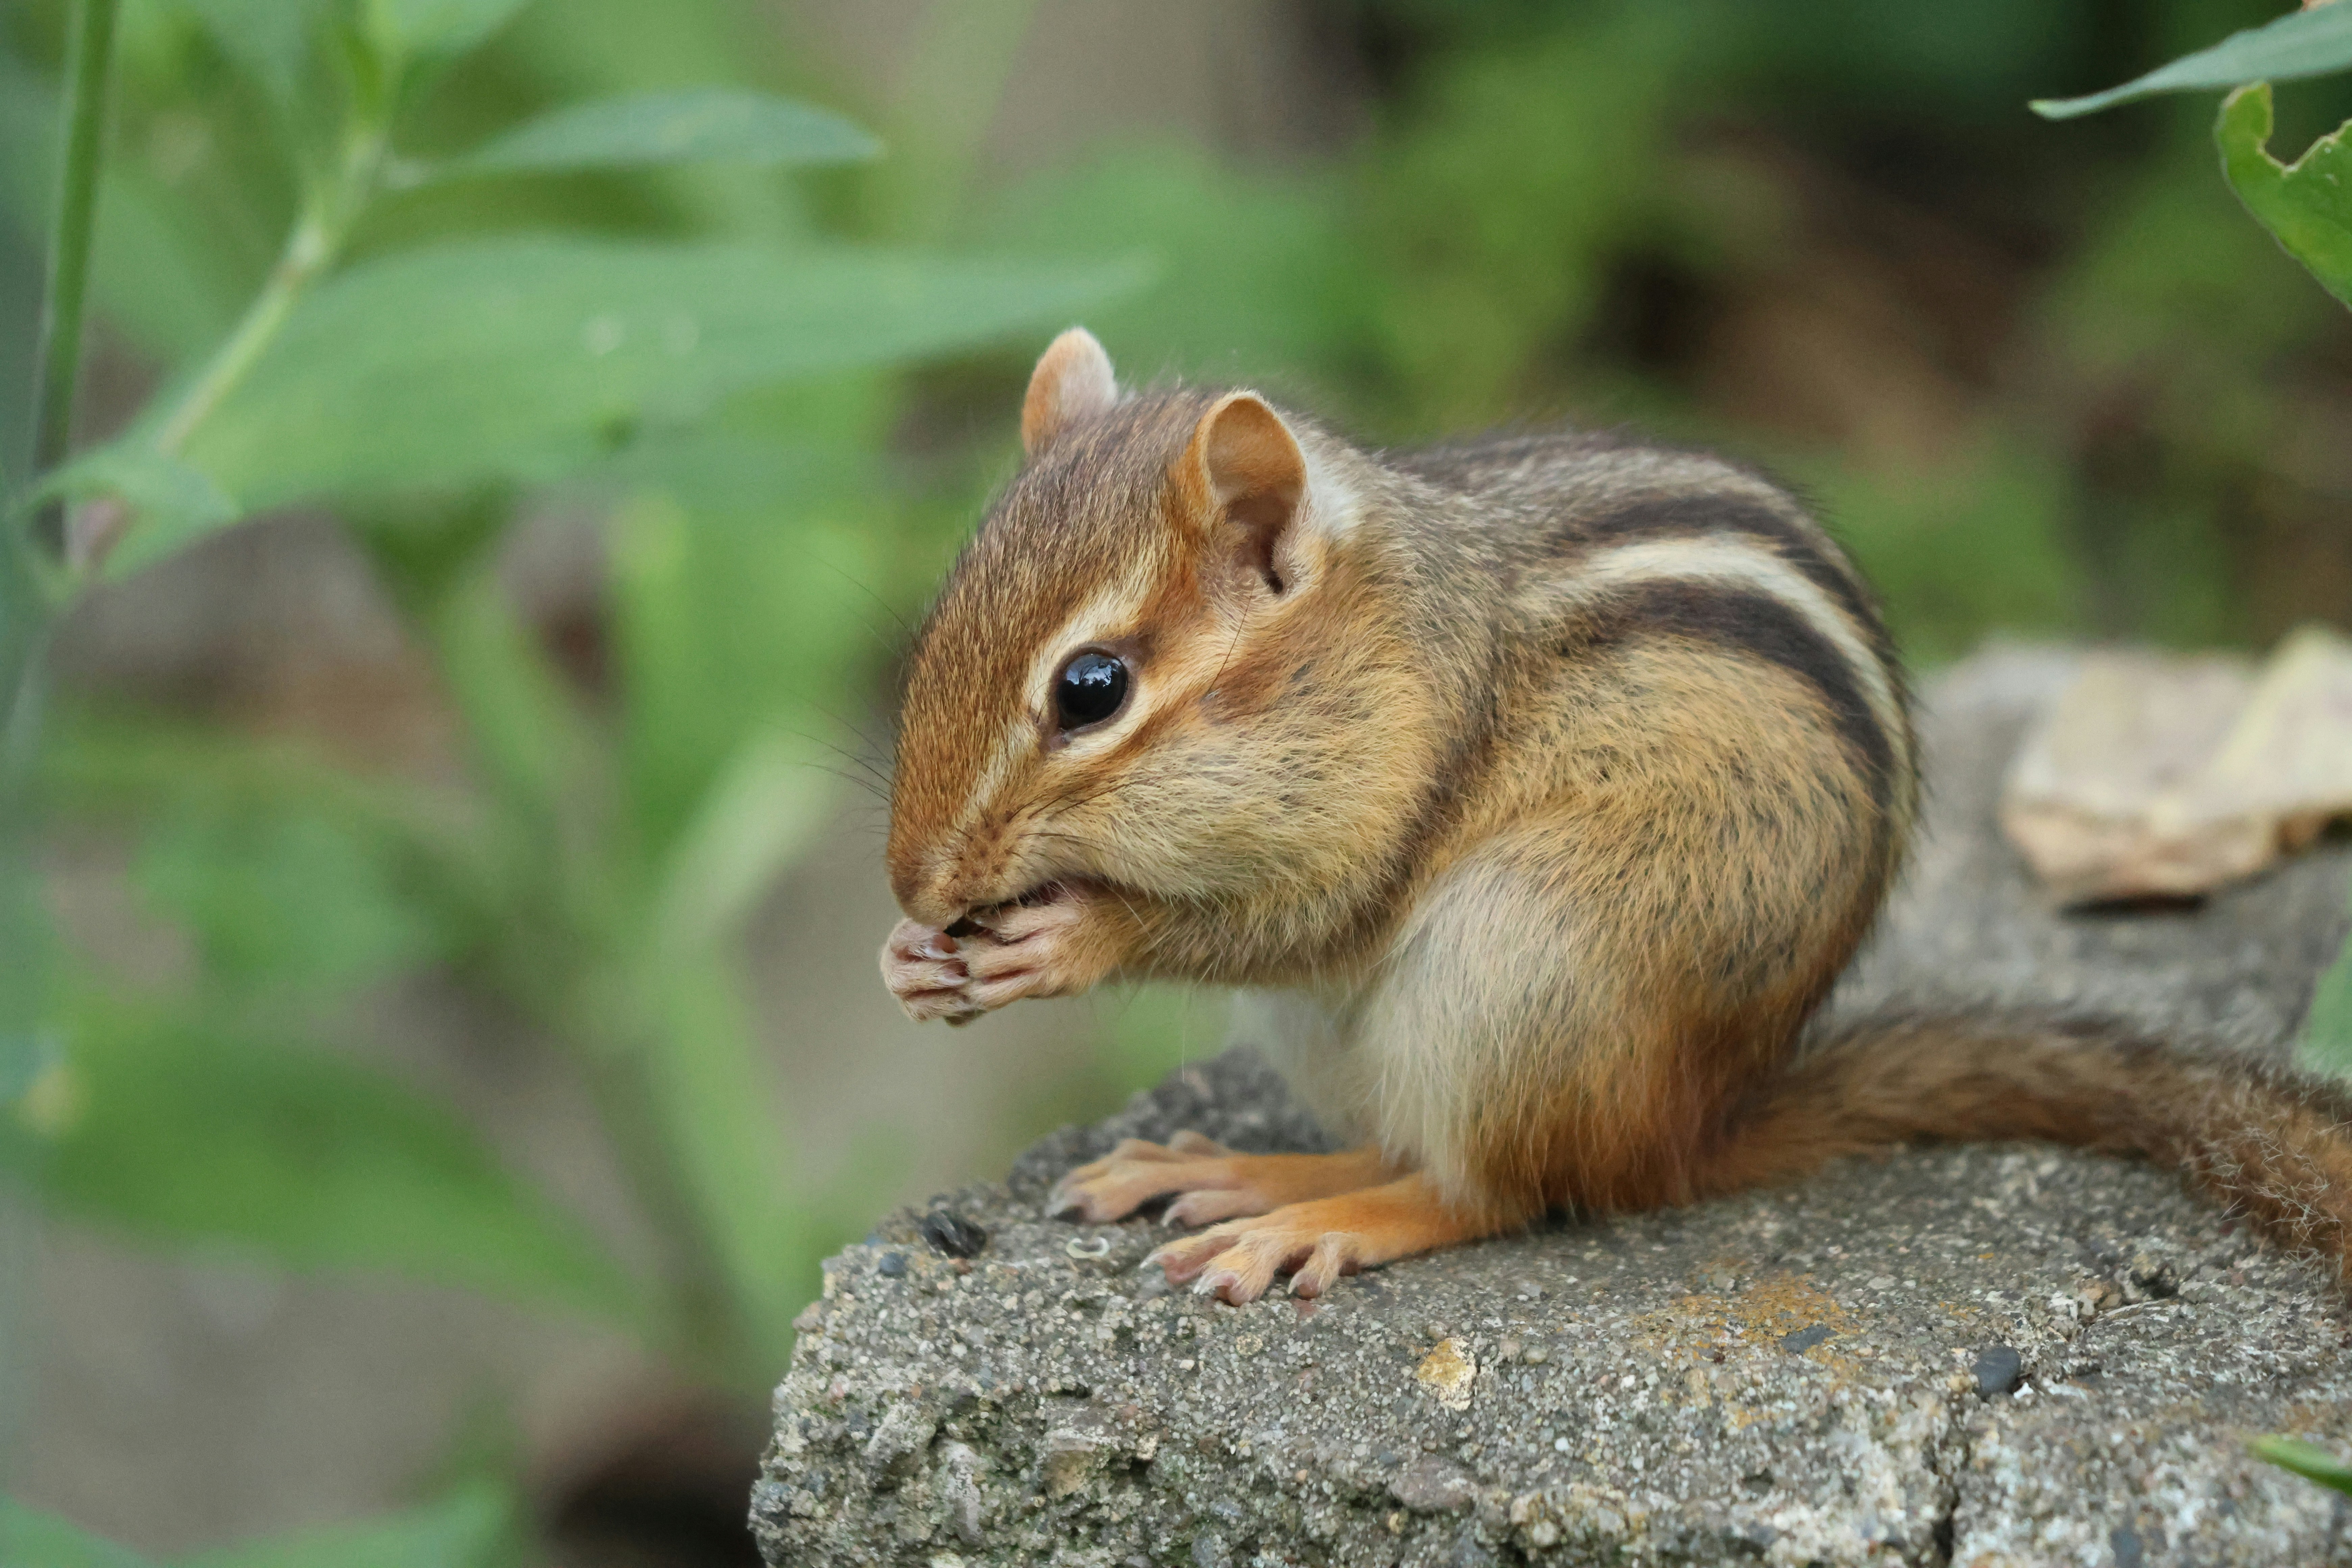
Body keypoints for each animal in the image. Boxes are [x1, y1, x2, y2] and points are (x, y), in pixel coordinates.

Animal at [879, 326, 2352, 1305]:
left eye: (1092, 688)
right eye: (936, 627)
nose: (914, 884)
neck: (1381, 635)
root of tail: (1687, 1126)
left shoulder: (1390, 796)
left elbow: (1300, 918)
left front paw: (1067, 938)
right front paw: (910, 960)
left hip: (1519, 963)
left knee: (1485, 1188)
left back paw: (1316, 1221)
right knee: (1405, 1138)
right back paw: (1251, 1171)